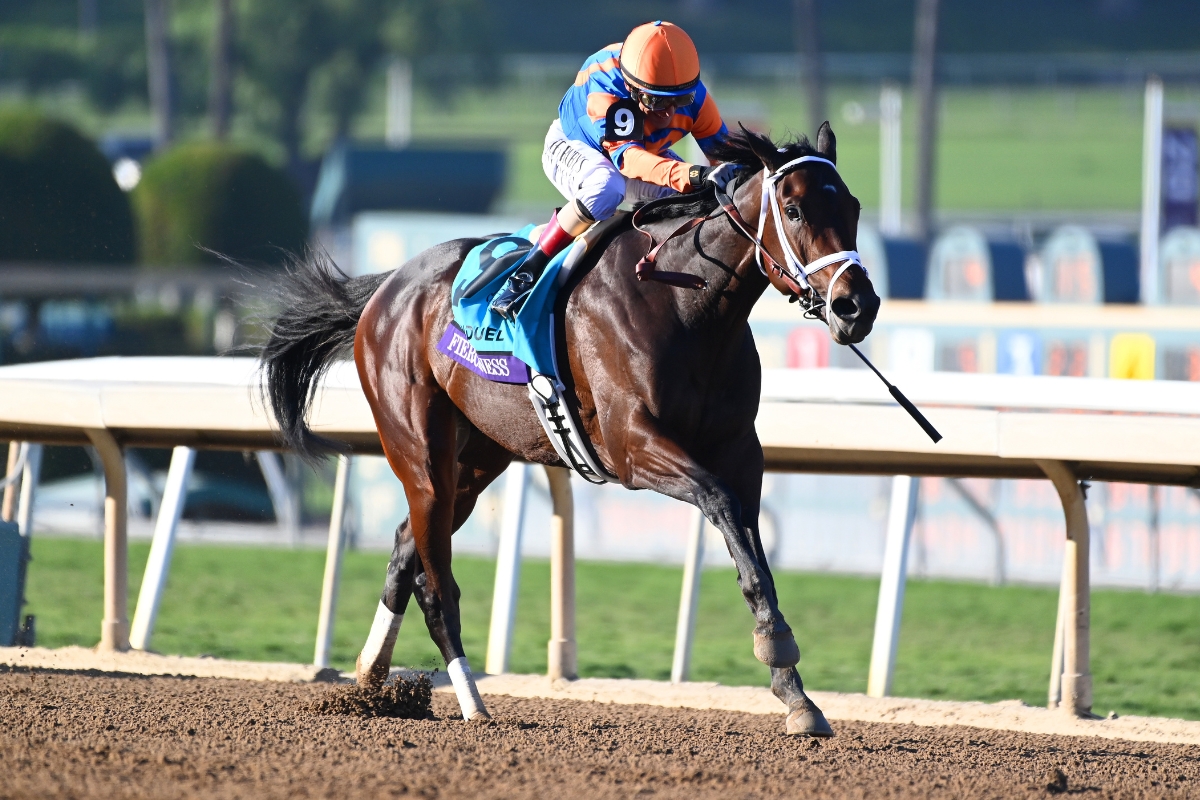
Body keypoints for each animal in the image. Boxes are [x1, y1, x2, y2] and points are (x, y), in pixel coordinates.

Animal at [261, 122, 880, 736]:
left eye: (851, 206)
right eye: (794, 209)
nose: (857, 306)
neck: (684, 300)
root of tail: (389, 286)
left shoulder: (740, 450)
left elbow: (754, 553)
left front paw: (796, 693)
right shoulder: (632, 446)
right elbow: (721, 504)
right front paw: (777, 649)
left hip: (476, 459)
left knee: (403, 549)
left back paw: (371, 679)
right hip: (419, 450)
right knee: (434, 584)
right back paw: (472, 703)